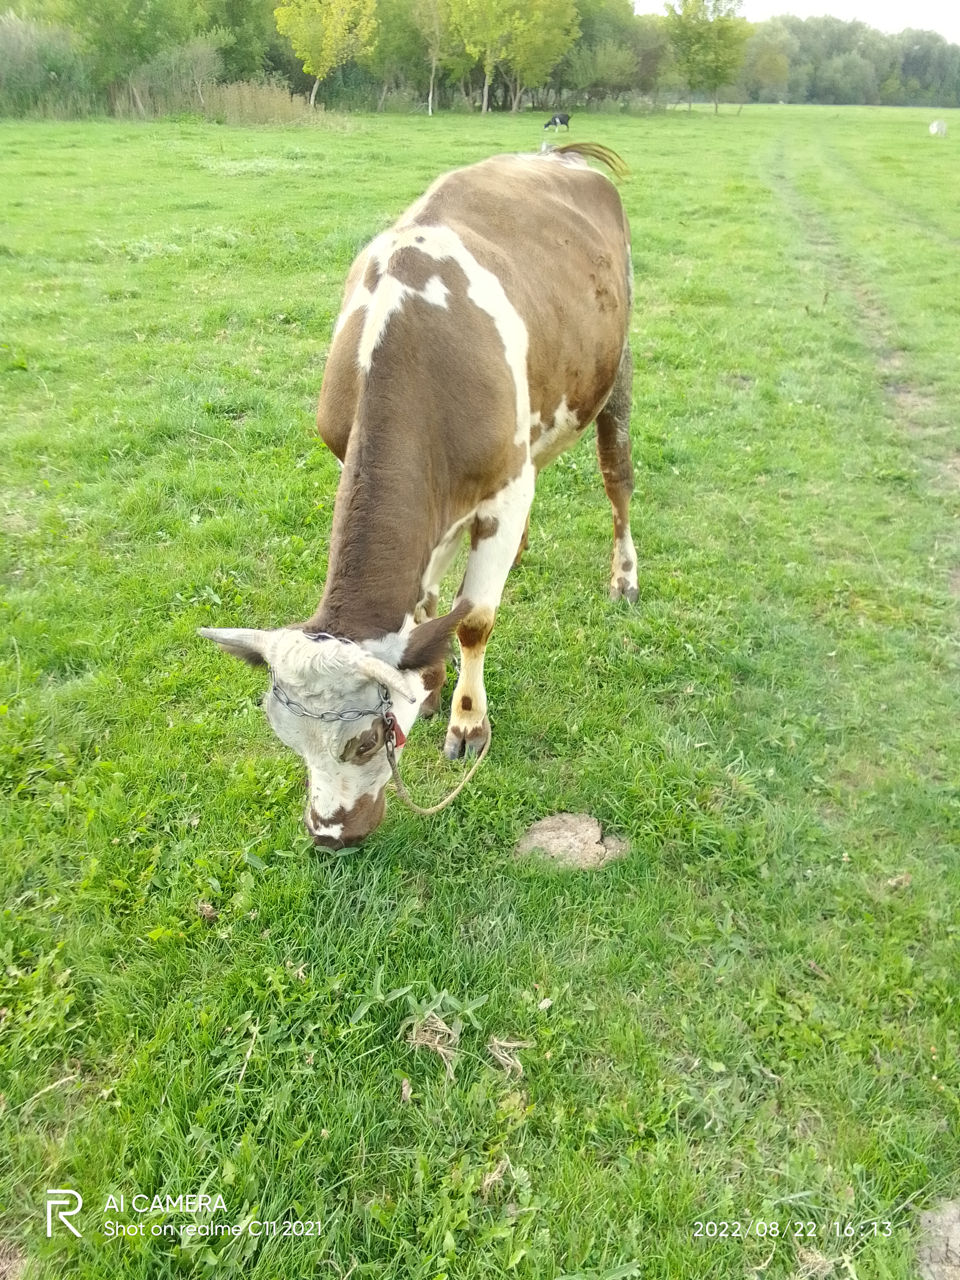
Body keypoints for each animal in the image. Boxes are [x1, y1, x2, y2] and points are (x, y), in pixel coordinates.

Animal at [201, 142, 637, 850]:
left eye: (362, 742)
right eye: (287, 740)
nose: (329, 834)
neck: (417, 360)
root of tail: (554, 152)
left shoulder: (505, 484)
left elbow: (475, 618)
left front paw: (467, 721)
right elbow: (428, 600)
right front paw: (427, 685)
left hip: (617, 365)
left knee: (616, 476)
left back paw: (624, 576)